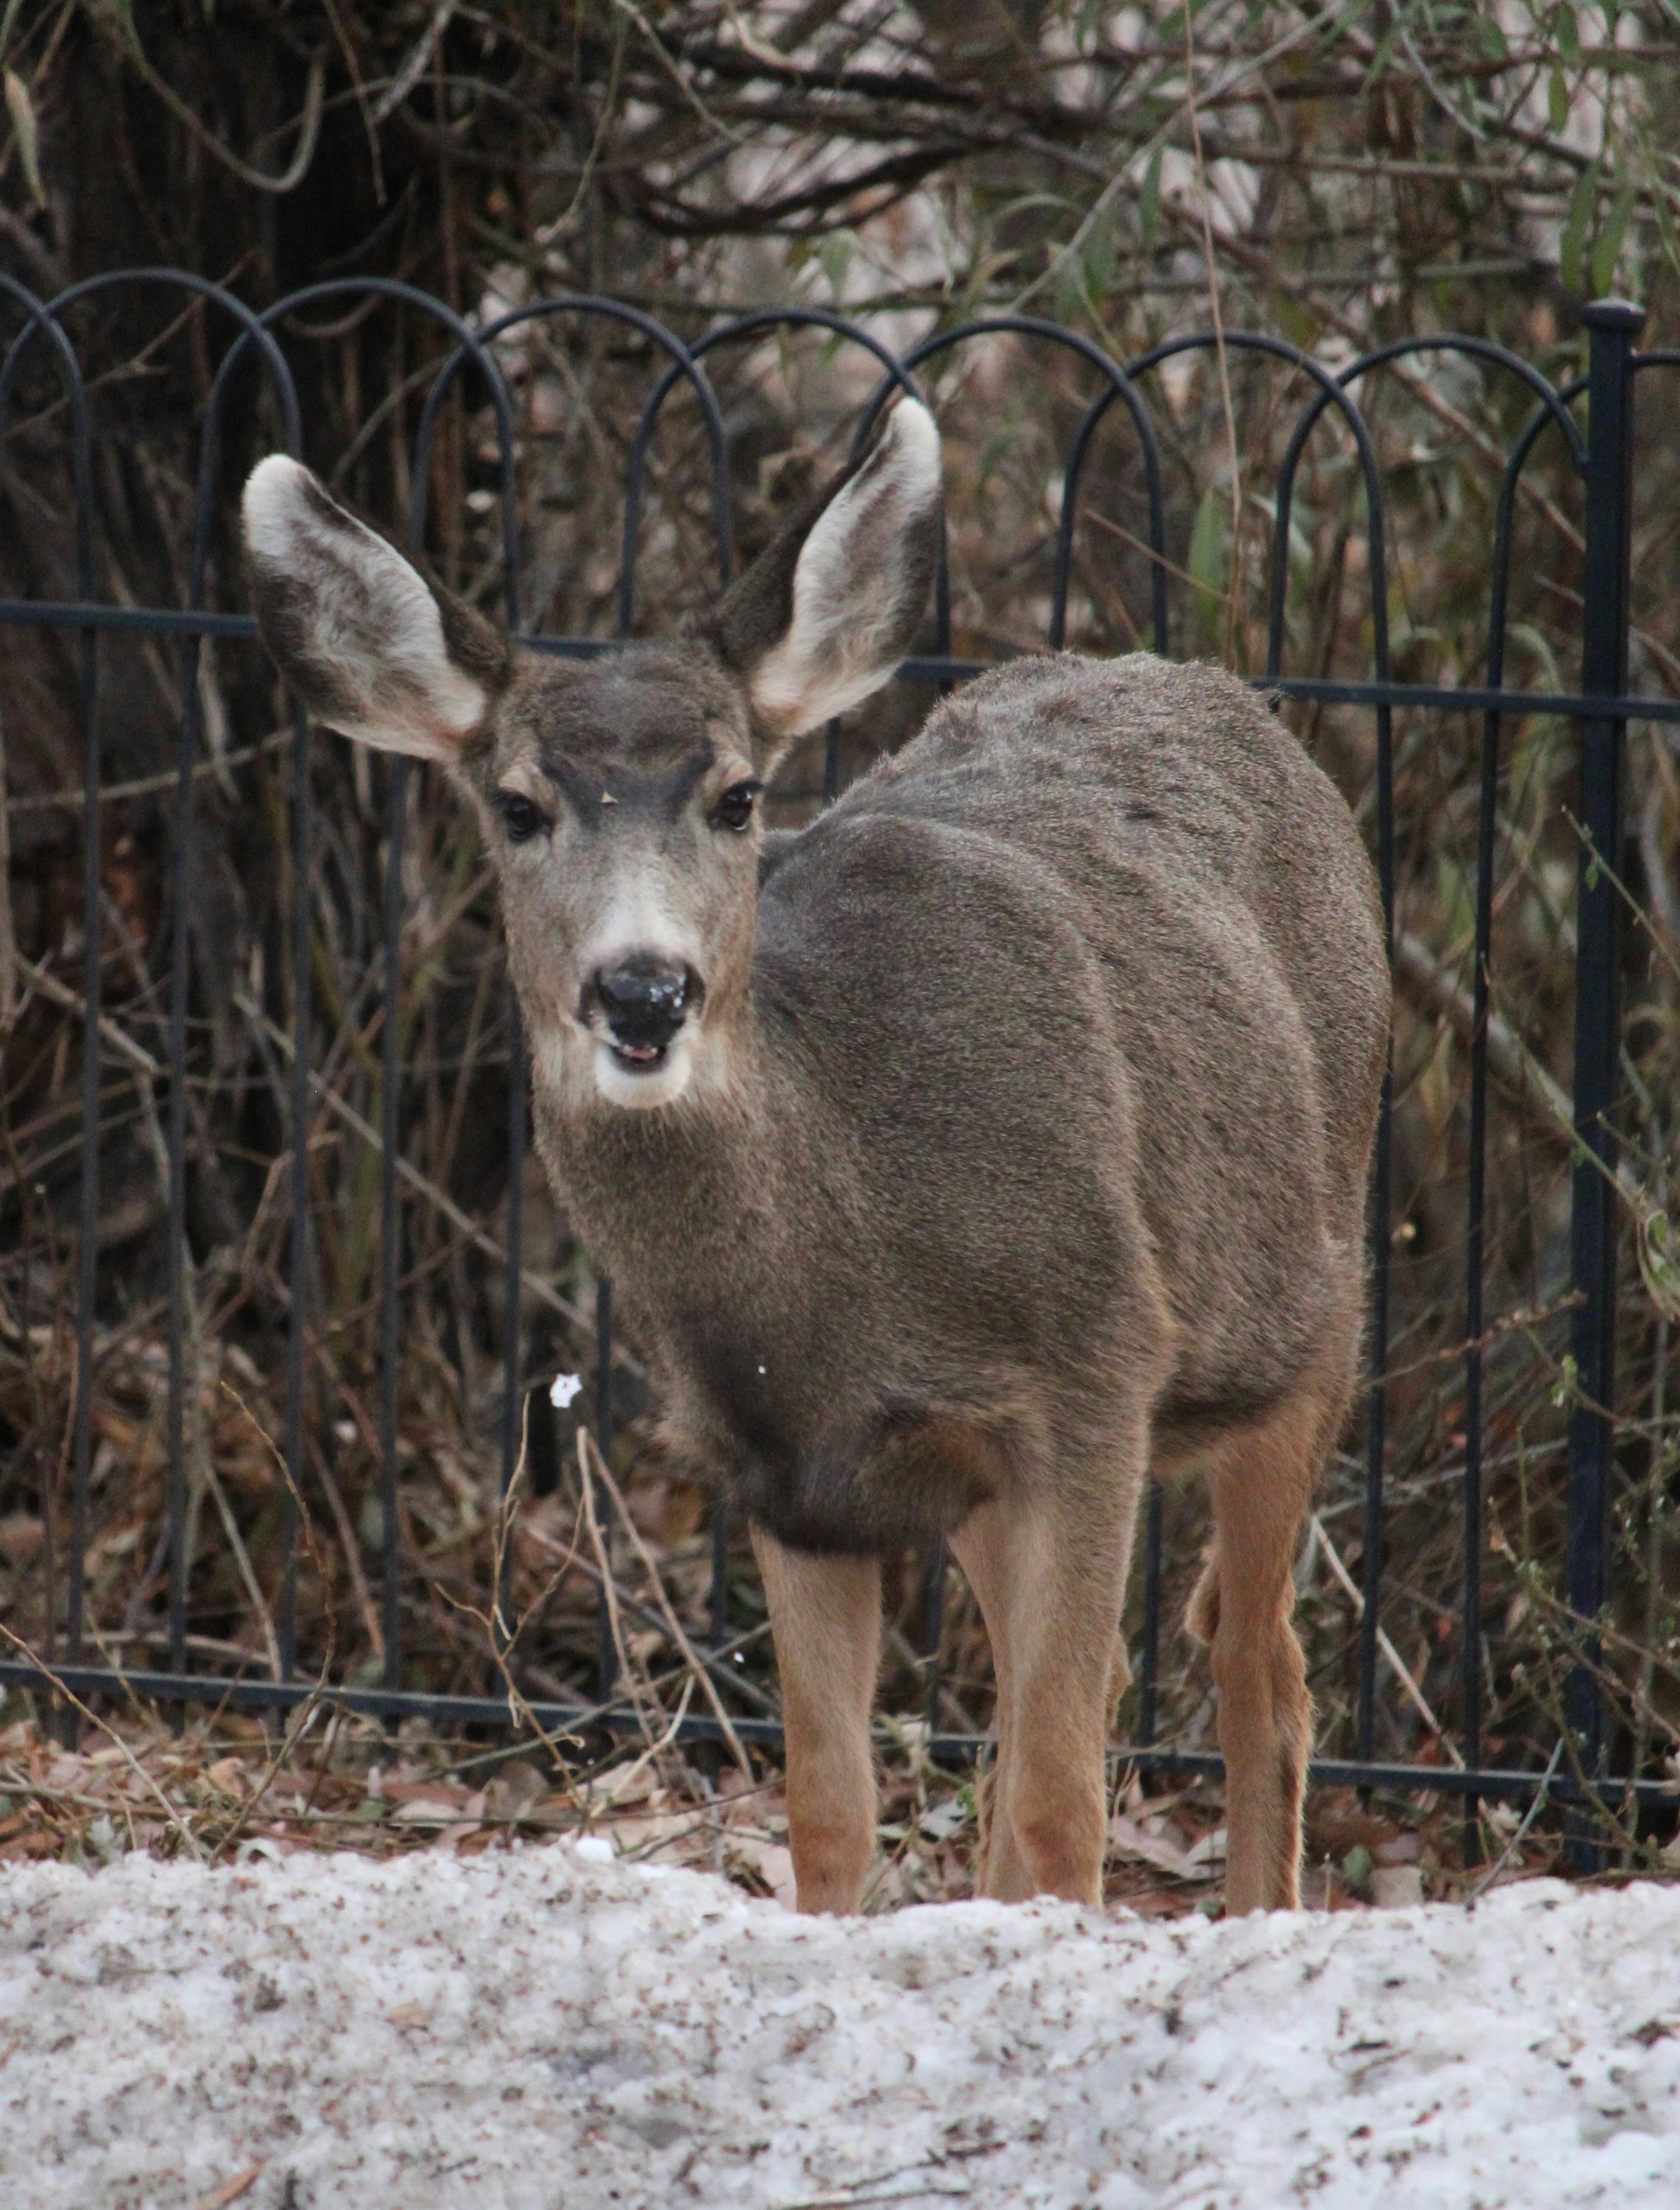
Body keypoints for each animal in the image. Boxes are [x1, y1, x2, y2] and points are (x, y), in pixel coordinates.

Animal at [240, 396, 1390, 1918]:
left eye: (737, 797)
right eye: (519, 806)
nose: (643, 988)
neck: (849, 1260)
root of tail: (1219, 692)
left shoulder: (1096, 1368)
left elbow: (1064, 1801)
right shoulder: (785, 1471)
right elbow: (831, 1808)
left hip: (1308, 1316)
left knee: (1257, 1665)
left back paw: (1261, 1904)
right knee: (1092, 1683)